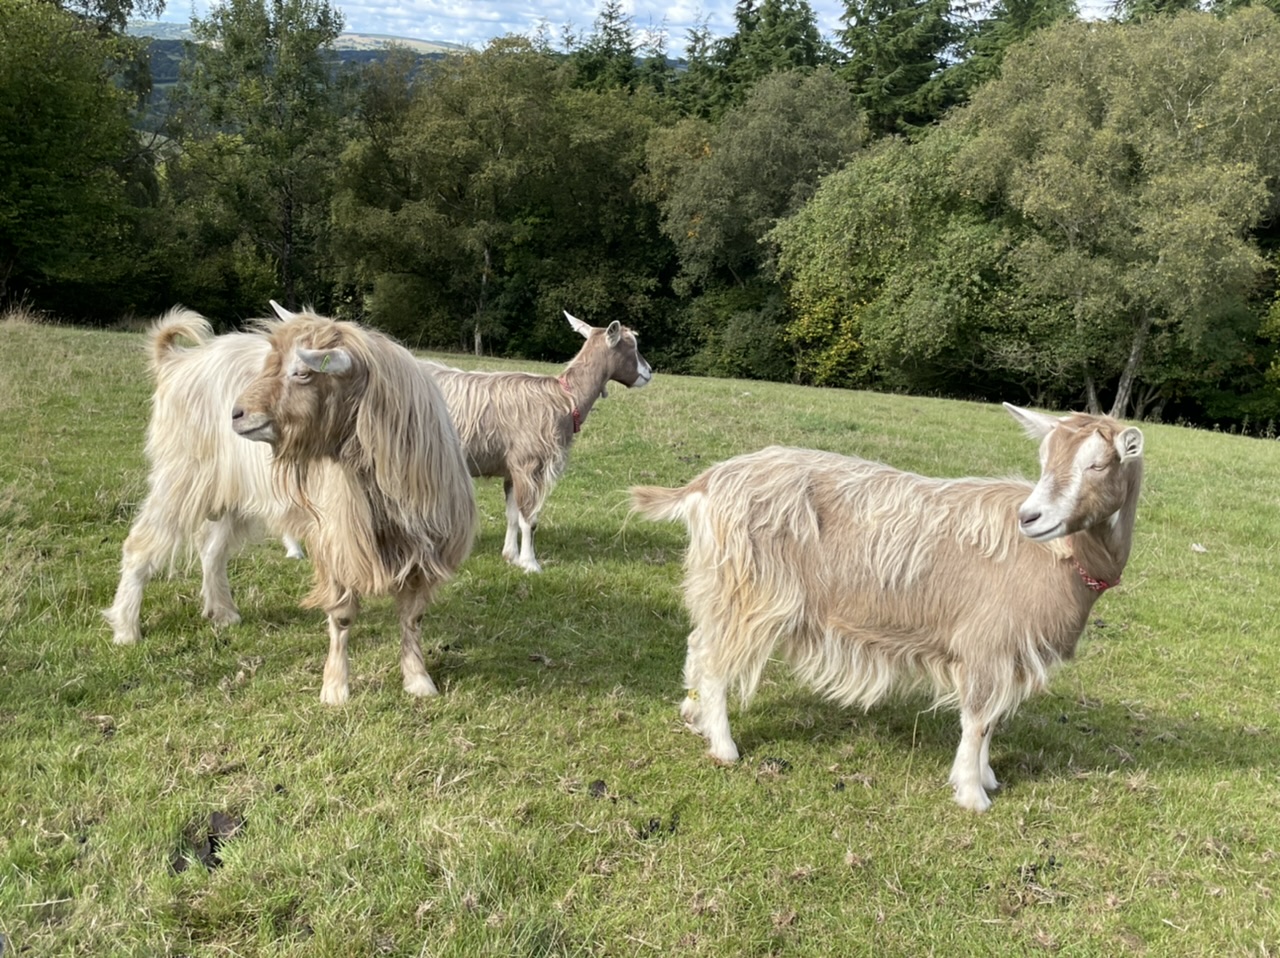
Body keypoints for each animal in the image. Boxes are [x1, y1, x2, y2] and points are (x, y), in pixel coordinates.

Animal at [230, 305, 476, 705]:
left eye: (301, 373)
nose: (236, 413)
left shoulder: (425, 555)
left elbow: (412, 618)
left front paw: (419, 680)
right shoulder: (338, 549)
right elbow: (342, 616)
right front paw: (334, 688)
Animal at [421, 311, 652, 572]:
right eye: (631, 345)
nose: (649, 371)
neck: (565, 397)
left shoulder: (511, 469)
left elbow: (512, 515)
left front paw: (510, 555)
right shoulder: (528, 464)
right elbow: (529, 519)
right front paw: (530, 563)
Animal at [630, 404, 1144, 812]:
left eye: (1098, 465)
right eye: (1043, 461)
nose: (1030, 517)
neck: (1061, 557)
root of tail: (707, 483)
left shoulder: (1005, 653)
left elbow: (992, 720)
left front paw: (987, 777)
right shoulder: (987, 643)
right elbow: (978, 720)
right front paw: (972, 794)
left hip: (718, 587)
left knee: (698, 643)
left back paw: (691, 713)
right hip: (752, 592)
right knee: (716, 660)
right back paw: (723, 746)